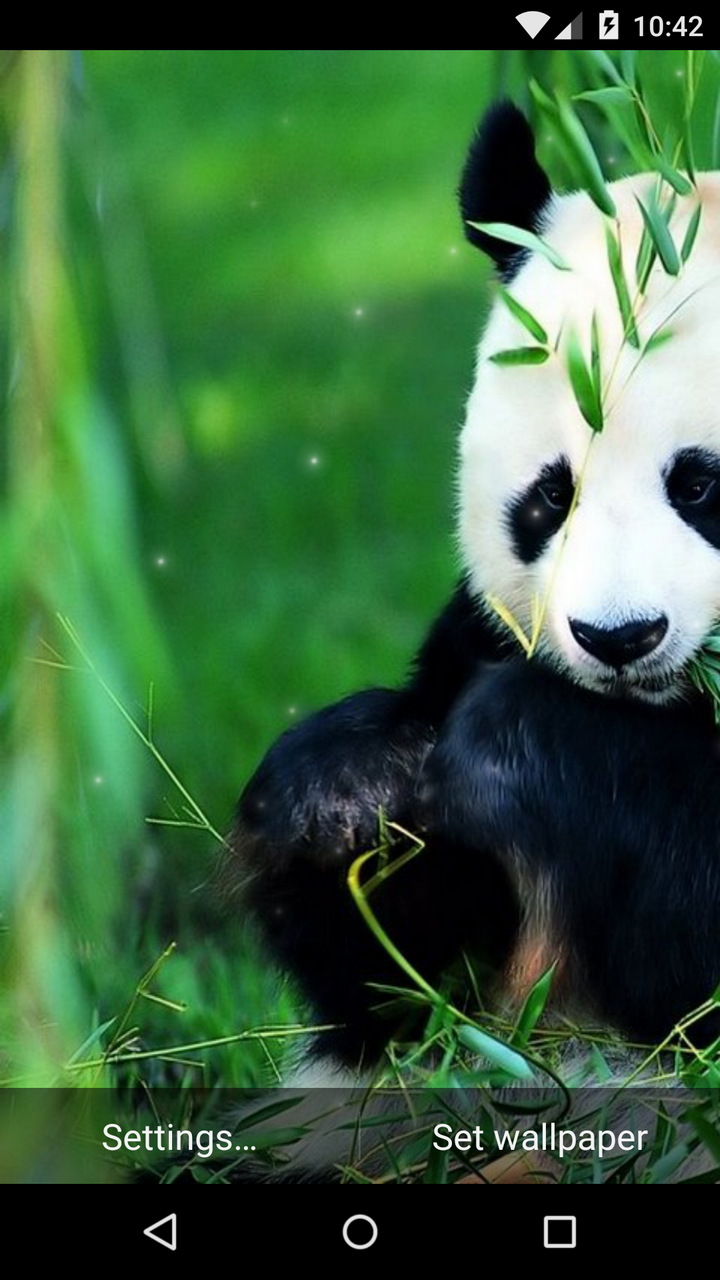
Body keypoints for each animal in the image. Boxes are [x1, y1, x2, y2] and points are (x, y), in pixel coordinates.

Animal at [231, 101, 720, 1091]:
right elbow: (405, 985)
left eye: (698, 485)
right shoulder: (476, 634)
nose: (621, 638)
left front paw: (522, 739)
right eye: (551, 497)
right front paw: (348, 792)